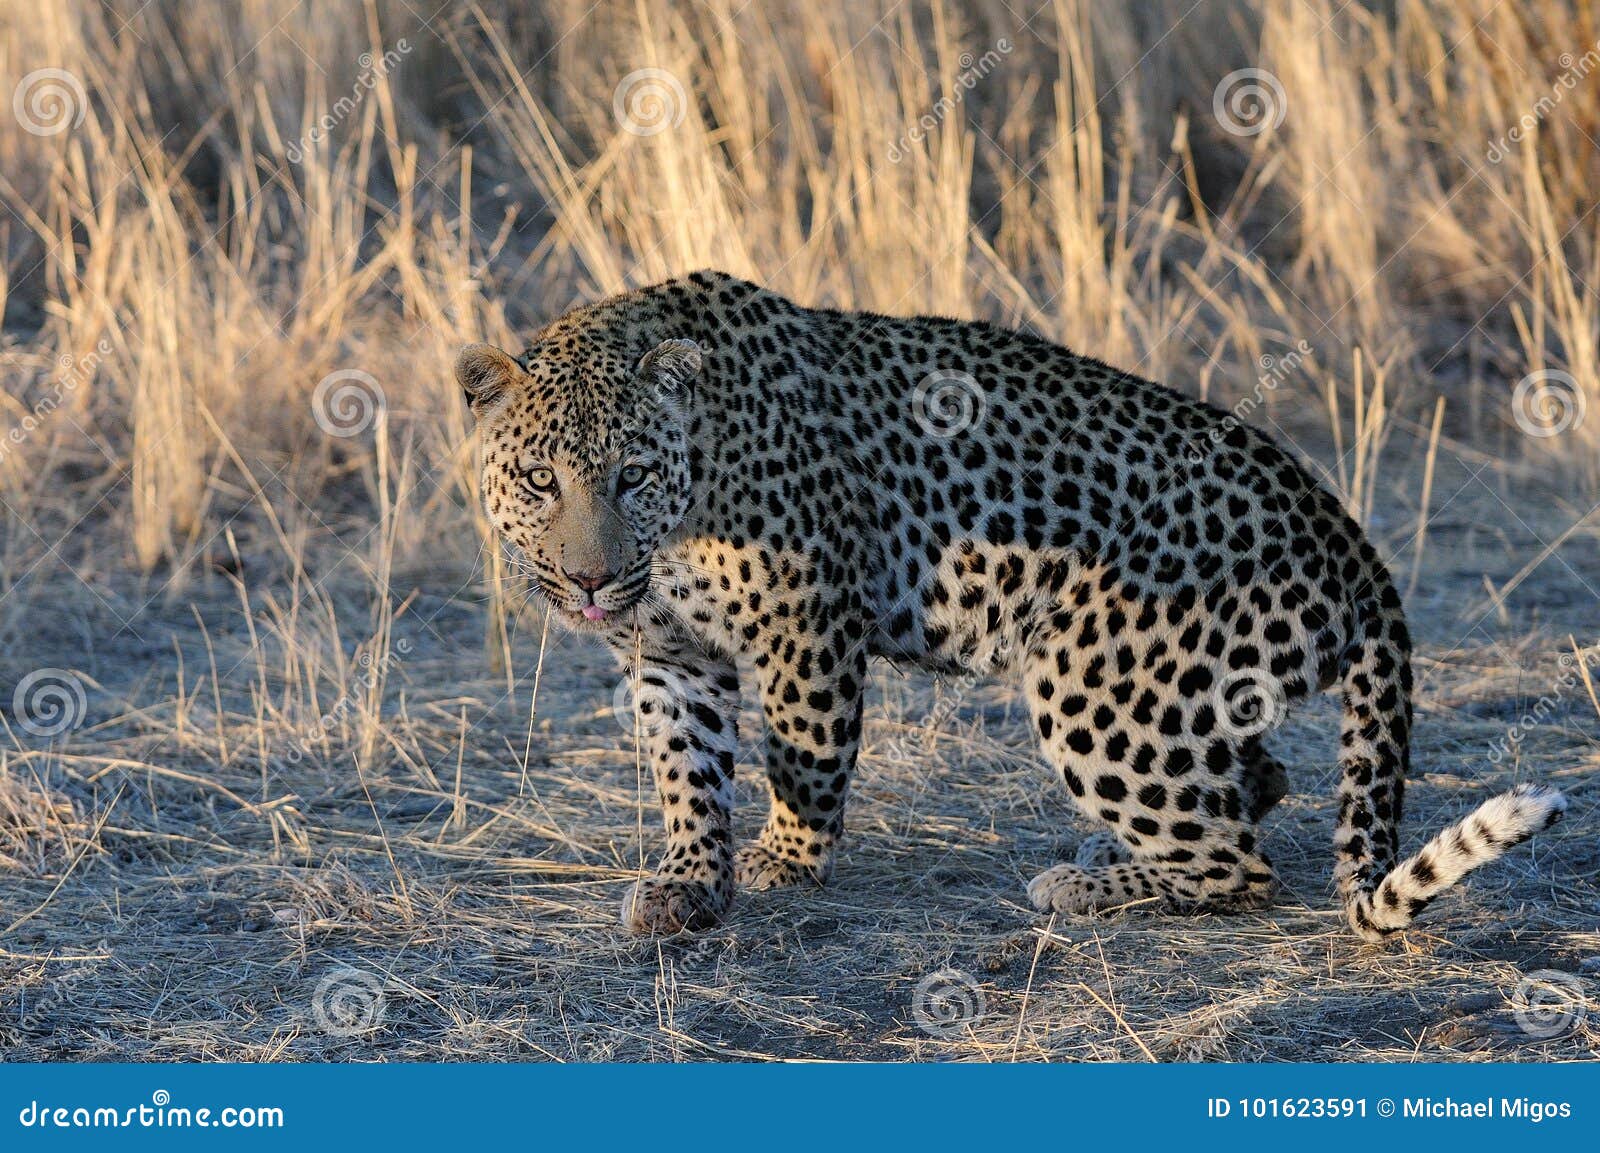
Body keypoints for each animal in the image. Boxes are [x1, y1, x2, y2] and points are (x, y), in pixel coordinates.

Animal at [455, 269, 1566, 942]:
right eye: (543, 481)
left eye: (634, 475)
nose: (590, 580)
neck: (684, 512)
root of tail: (1355, 548)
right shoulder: (673, 652)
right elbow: (684, 767)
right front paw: (689, 878)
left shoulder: (804, 617)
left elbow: (802, 756)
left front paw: (783, 859)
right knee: (1259, 777)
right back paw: (1110, 852)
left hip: (1095, 679)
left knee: (1239, 867)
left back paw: (1086, 884)